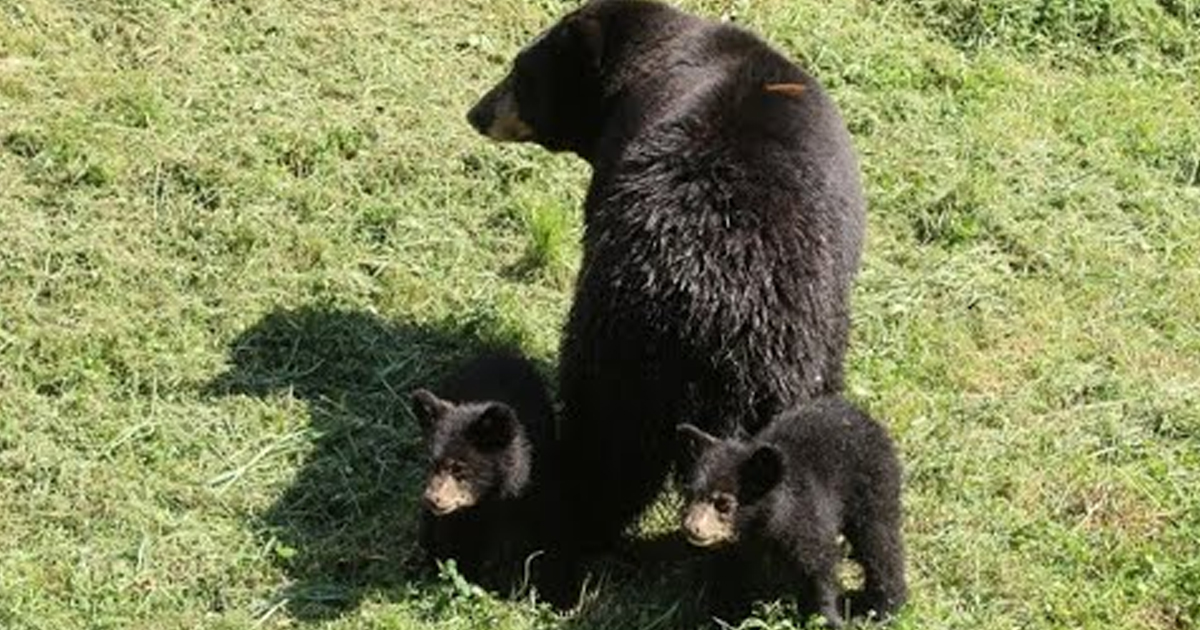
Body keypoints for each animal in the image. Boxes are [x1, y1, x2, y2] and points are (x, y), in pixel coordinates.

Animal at [676, 396, 907, 626]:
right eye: (690, 493)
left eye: (724, 504)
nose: (691, 527)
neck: (758, 531)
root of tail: (862, 414)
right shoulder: (732, 551)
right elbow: (728, 581)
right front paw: (723, 617)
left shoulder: (806, 523)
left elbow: (818, 571)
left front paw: (828, 619)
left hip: (874, 487)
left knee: (880, 542)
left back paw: (885, 608)